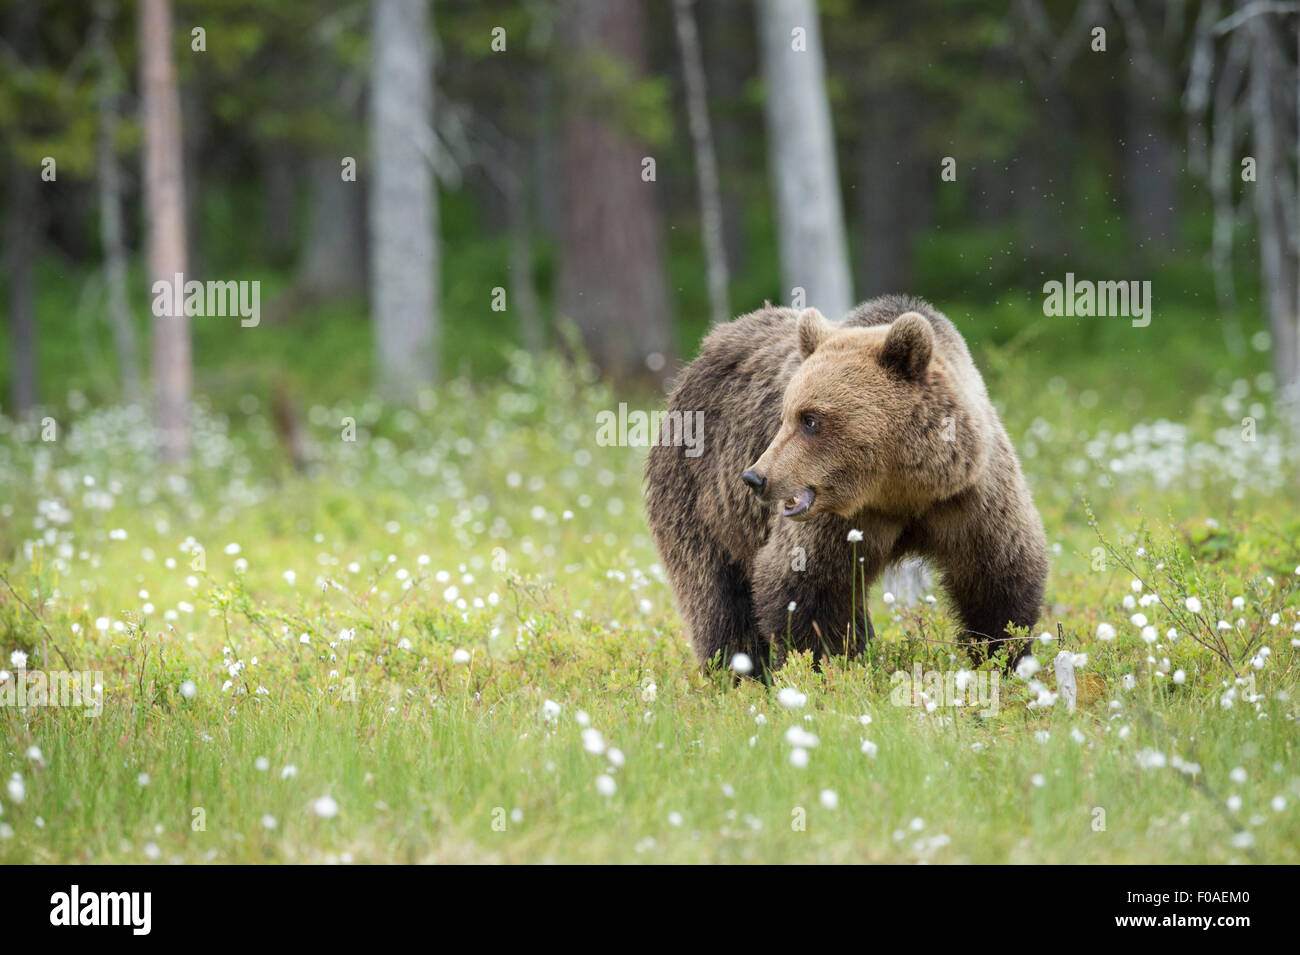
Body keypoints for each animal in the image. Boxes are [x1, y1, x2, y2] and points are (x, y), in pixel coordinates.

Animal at [644, 294, 1048, 675]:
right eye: (785, 416)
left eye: (810, 419)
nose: (756, 477)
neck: (900, 490)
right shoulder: (835, 523)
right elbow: (803, 590)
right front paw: (825, 665)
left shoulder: (969, 498)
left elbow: (998, 576)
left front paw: (1005, 658)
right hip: (699, 498)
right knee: (716, 597)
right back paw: (739, 672)